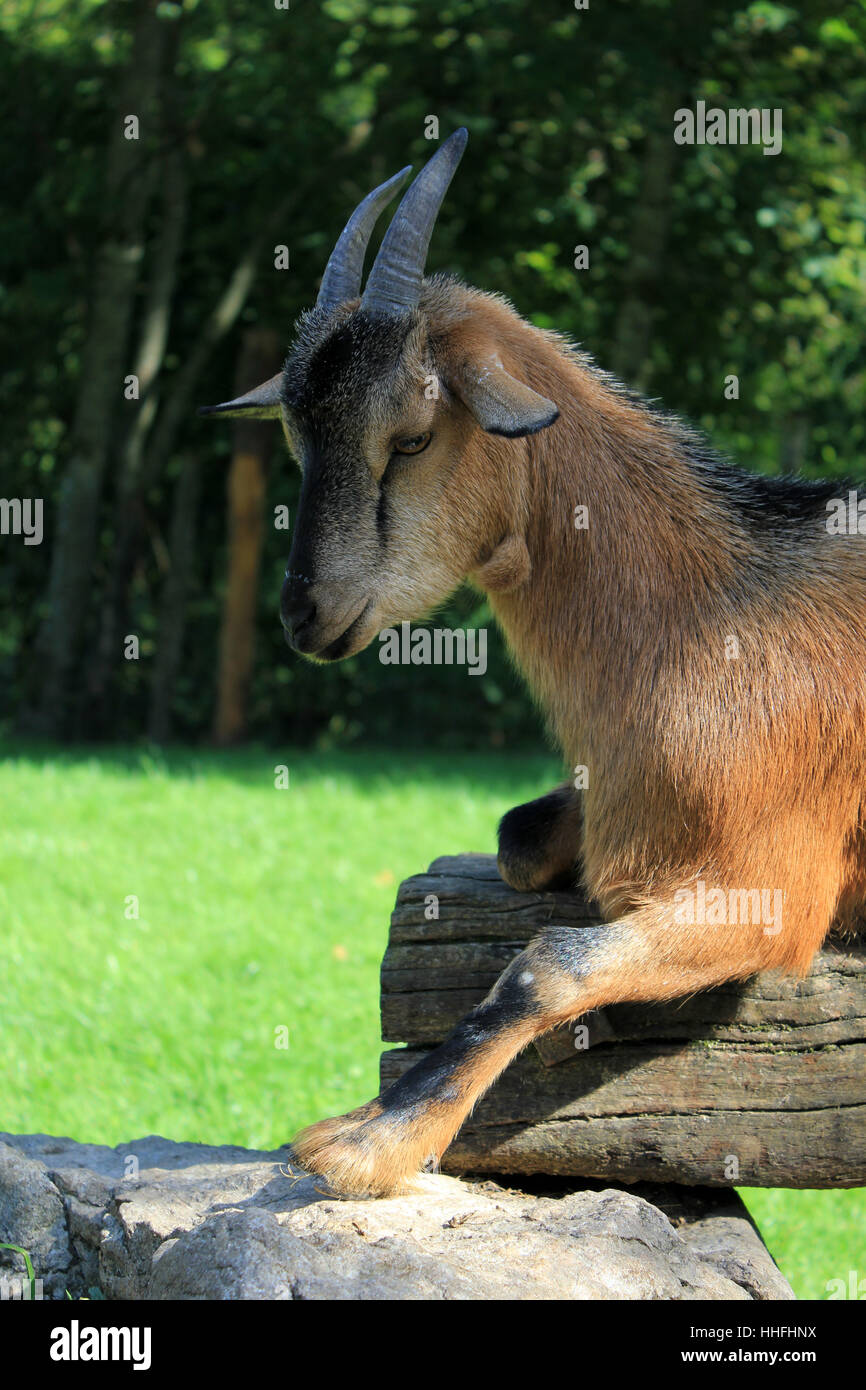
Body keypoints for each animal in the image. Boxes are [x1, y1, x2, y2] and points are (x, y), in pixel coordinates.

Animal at [201, 128, 866, 1197]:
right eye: (297, 438)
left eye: (412, 437)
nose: (307, 614)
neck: (706, 615)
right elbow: (516, 838)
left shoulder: (768, 887)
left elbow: (547, 964)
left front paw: (371, 1138)